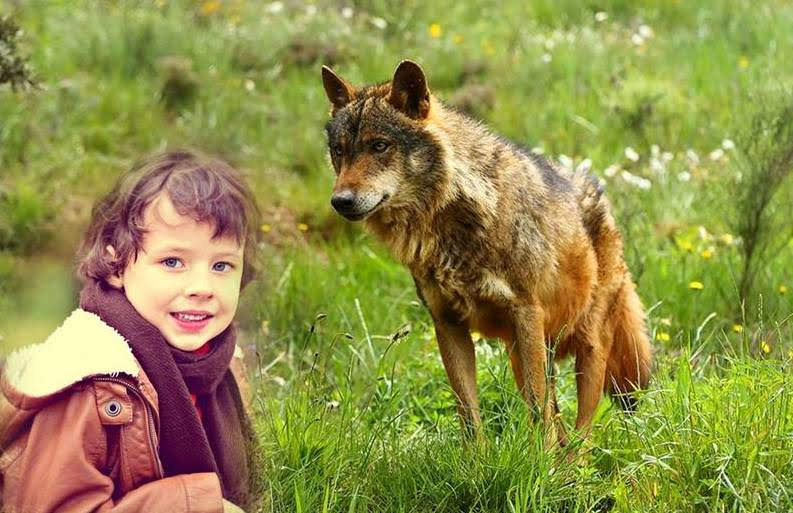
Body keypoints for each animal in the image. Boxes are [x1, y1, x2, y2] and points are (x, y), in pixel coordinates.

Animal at [321, 60, 651, 442]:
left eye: (379, 145)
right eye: (340, 150)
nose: (340, 201)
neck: (453, 220)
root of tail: (598, 192)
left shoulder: (526, 314)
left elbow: (538, 412)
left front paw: (538, 461)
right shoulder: (448, 325)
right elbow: (469, 415)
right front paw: (480, 457)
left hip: (586, 349)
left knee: (582, 430)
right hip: (523, 353)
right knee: (560, 425)